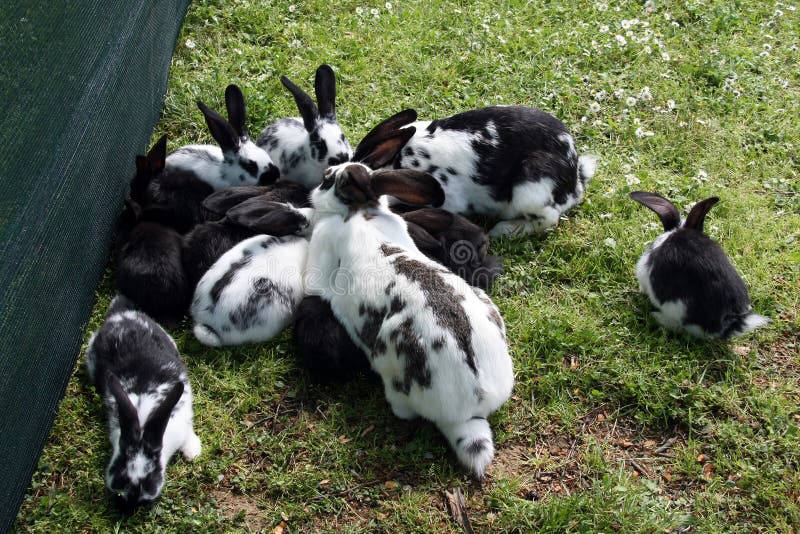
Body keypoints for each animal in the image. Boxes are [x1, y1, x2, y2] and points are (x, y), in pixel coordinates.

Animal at [85, 294, 201, 509]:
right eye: (119, 474)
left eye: (149, 480)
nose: (129, 505)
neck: (143, 421)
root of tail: (121, 315)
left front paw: (193, 452)